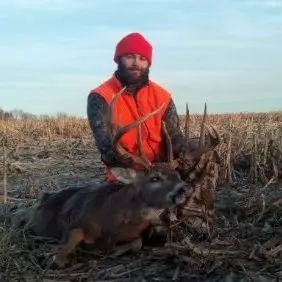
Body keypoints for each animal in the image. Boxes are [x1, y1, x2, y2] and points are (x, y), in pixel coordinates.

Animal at [24, 88, 220, 268]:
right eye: (154, 178)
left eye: (177, 174)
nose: (185, 188)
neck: (115, 221)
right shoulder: (78, 223)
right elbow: (67, 247)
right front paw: (54, 257)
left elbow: (137, 242)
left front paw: (112, 250)